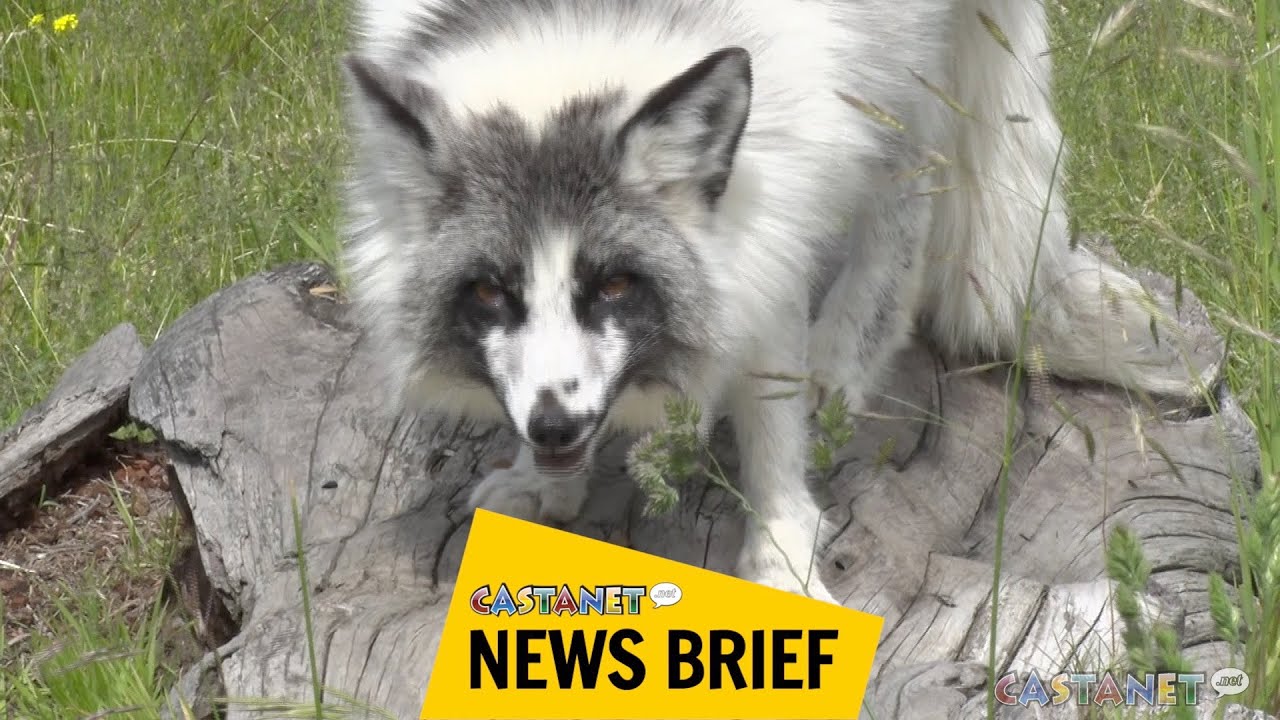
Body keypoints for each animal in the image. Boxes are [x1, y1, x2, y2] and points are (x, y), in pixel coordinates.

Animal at [339, 0, 1207, 603]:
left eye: (615, 283)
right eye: (490, 291)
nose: (553, 428)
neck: (560, 42)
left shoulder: (776, 208)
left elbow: (771, 411)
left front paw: (782, 557)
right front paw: (539, 481)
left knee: (911, 184)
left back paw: (845, 357)